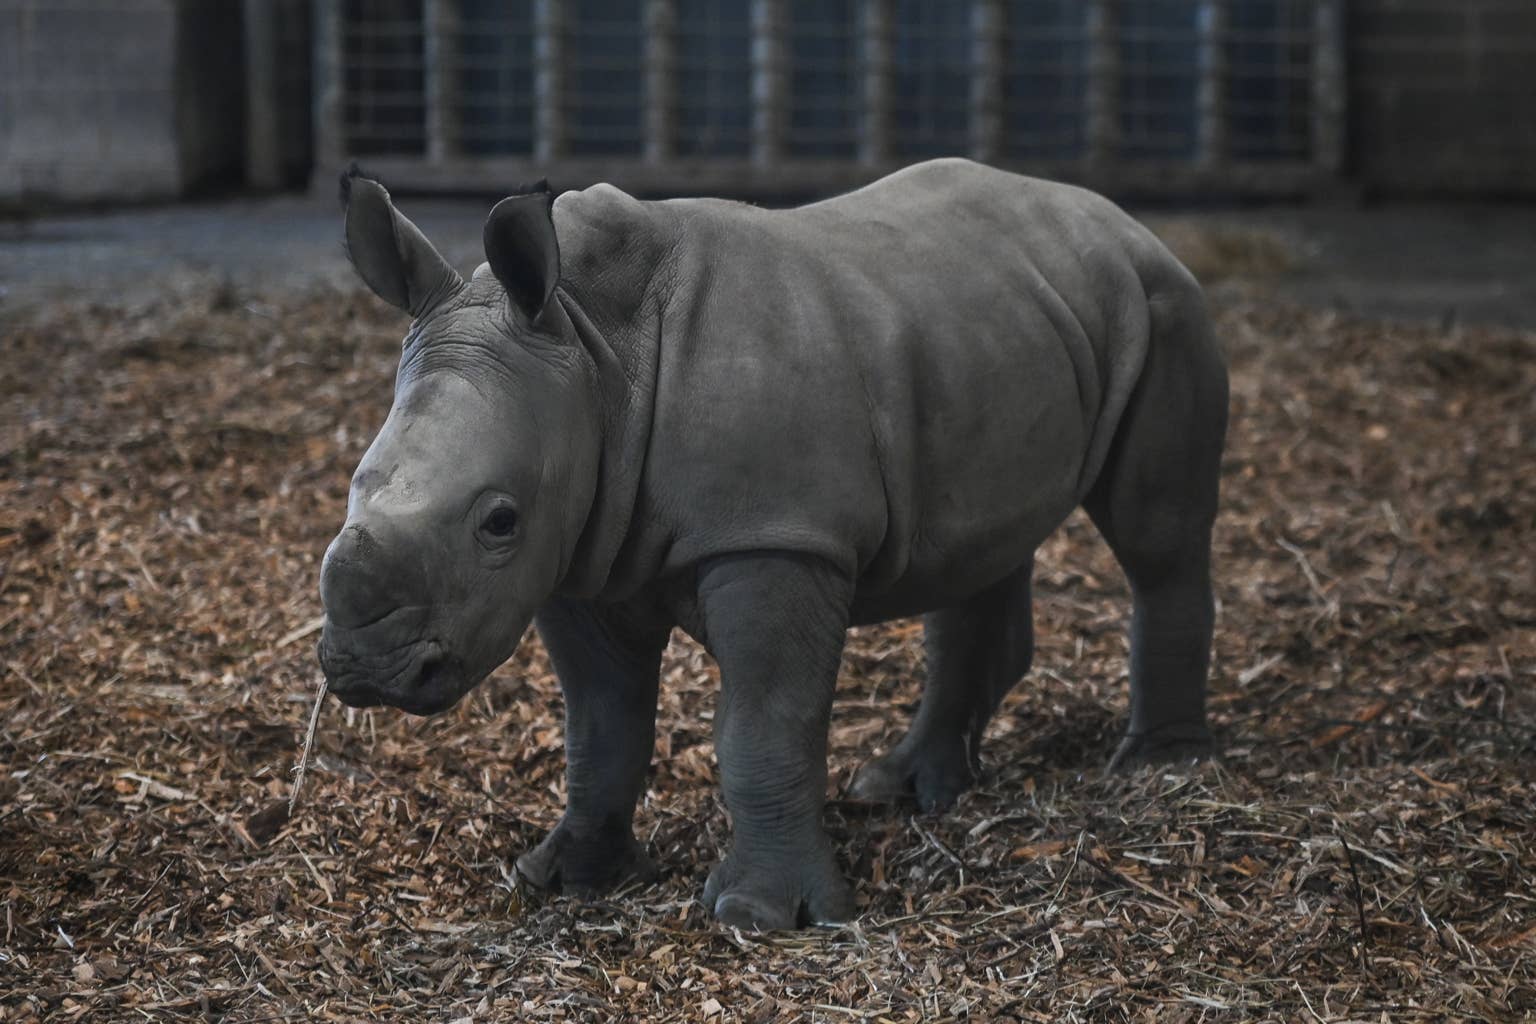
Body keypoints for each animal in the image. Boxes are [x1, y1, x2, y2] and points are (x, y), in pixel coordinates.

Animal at [316, 158, 1228, 930]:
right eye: (355, 481)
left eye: (498, 520)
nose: (364, 669)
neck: (591, 348)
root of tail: (1113, 214)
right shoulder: (579, 556)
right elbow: (601, 726)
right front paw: (566, 877)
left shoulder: (776, 536)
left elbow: (764, 724)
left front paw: (759, 916)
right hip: (997, 325)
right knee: (975, 549)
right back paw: (906, 789)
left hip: (1161, 305)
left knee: (1158, 540)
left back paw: (1156, 767)